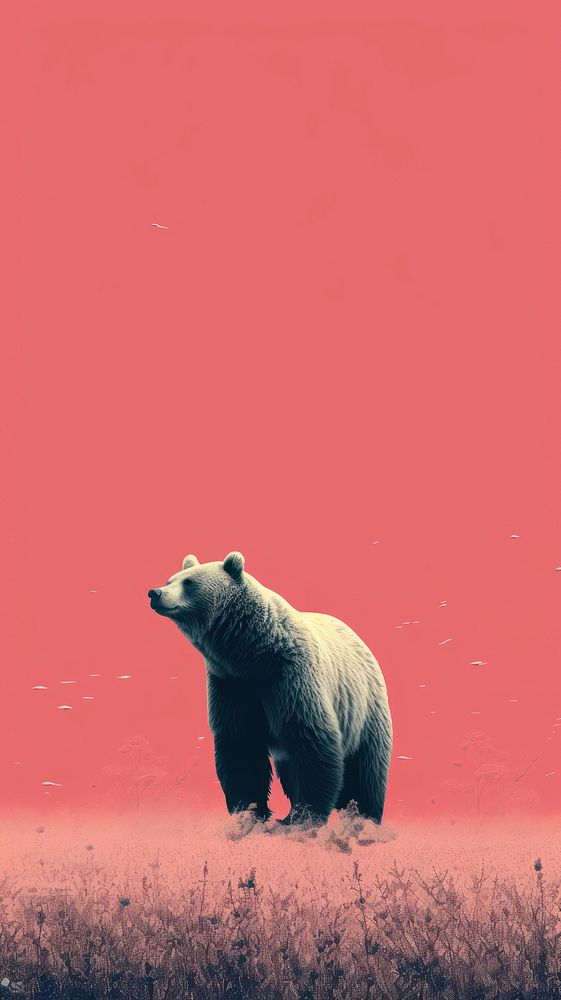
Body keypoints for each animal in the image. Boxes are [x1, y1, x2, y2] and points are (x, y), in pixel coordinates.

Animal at [148, 552, 392, 826]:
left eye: (189, 582)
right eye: (170, 579)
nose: (155, 592)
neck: (251, 653)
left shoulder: (290, 675)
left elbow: (311, 739)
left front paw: (301, 818)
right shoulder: (231, 685)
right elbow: (240, 745)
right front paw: (251, 813)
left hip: (364, 708)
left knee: (366, 772)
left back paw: (364, 816)